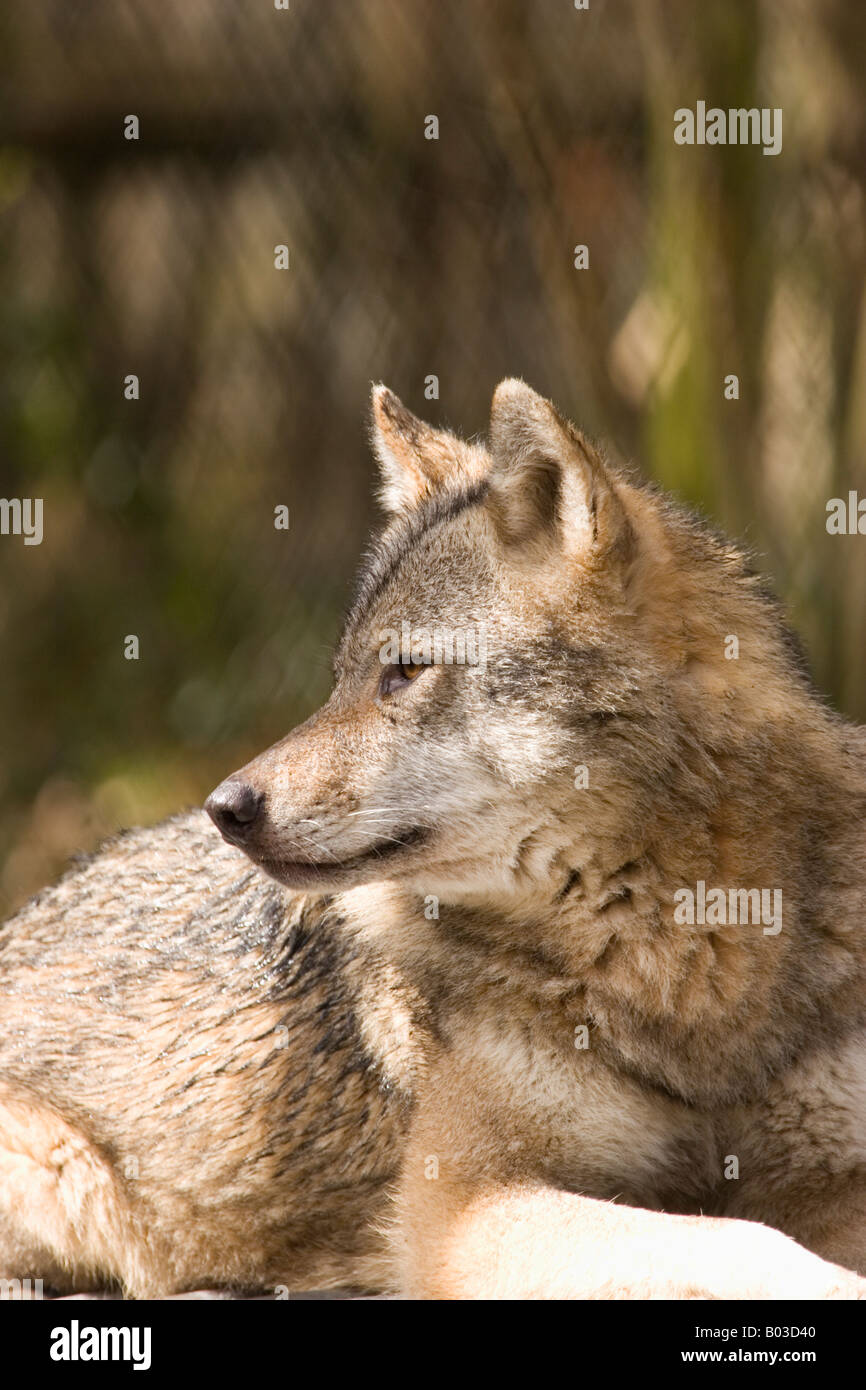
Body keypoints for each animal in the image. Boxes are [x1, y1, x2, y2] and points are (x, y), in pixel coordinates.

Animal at [204, 379, 866, 1299]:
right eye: (339, 680)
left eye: (404, 672)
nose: (225, 806)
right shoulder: (461, 1203)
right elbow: (735, 1237)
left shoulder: (835, 1167)